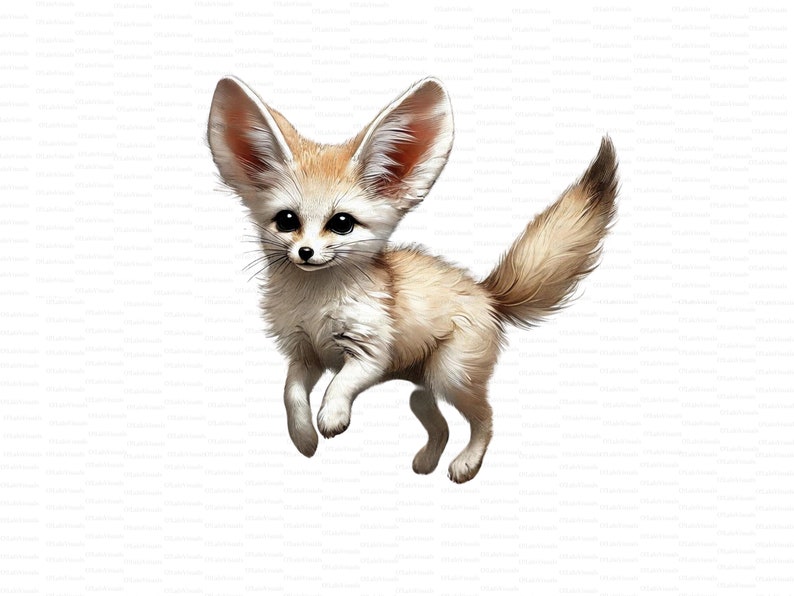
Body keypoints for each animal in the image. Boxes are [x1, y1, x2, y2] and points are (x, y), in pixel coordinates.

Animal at [207, 76, 618, 483]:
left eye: (341, 223)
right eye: (287, 220)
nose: (305, 253)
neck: (315, 303)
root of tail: (487, 293)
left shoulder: (370, 351)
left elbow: (341, 383)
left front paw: (332, 416)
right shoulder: (303, 353)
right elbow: (290, 395)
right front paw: (304, 437)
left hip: (453, 377)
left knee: (486, 419)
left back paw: (467, 464)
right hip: (425, 388)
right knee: (441, 423)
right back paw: (426, 462)